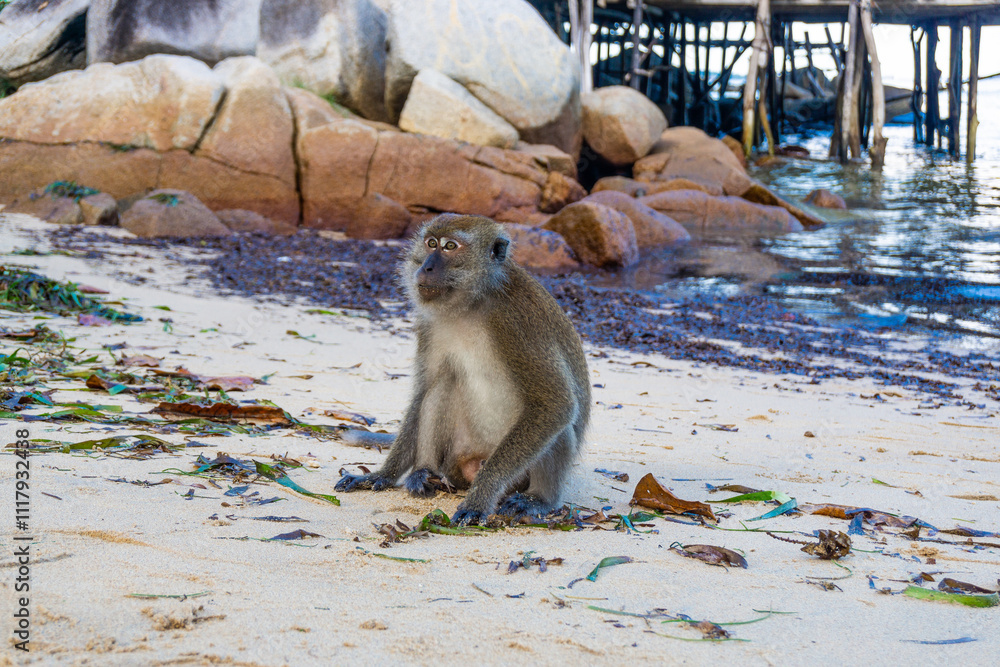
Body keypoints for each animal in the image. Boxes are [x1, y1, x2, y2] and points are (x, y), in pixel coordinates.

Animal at [335, 214, 590, 526]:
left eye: (450, 247)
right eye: (431, 243)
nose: (426, 266)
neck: (472, 303)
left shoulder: (515, 322)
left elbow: (555, 403)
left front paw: (481, 496)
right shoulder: (429, 324)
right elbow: (423, 391)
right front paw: (382, 475)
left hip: (517, 476)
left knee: (557, 423)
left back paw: (539, 500)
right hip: (457, 457)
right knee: (441, 386)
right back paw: (424, 472)